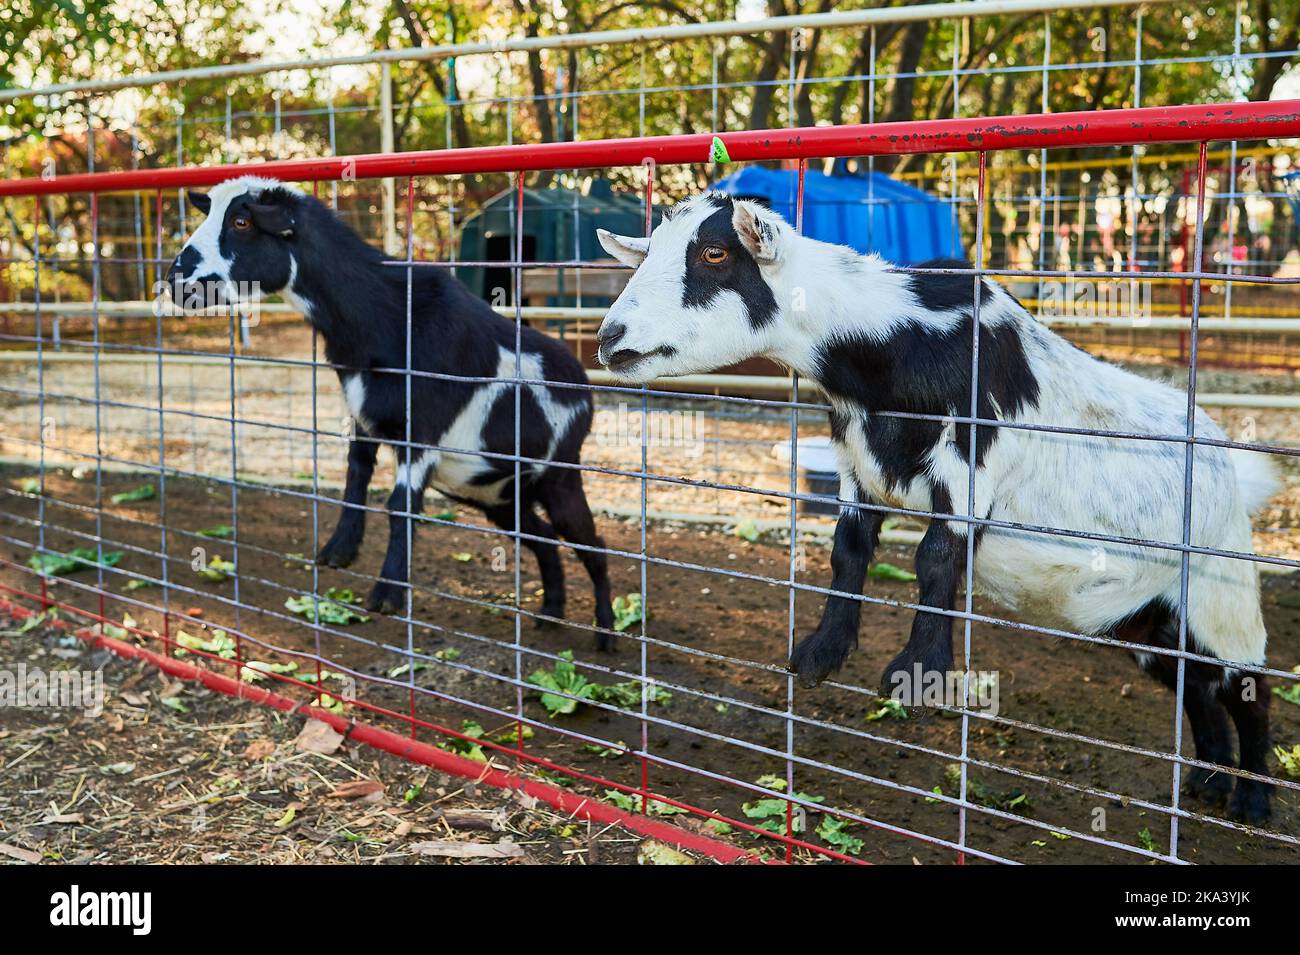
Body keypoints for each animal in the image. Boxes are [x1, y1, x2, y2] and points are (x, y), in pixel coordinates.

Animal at [165, 176, 616, 647]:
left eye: (241, 221)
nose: (176, 280)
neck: (385, 320)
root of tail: (583, 387)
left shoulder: (421, 432)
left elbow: (400, 506)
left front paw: (387, 594)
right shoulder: (363, 416)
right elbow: (355, 475)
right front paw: (338, 552)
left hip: (560, 475)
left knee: (593, 543)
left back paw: (606, 634)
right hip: (499, 494)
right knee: (543, 539)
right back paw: (551, 613)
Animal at [594, 192, 1277, 822]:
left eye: (714, 254)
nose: (608, 338)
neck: (893, 344)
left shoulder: (971, 461)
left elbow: (935, 557)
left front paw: (916, 674)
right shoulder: (858, 466)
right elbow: (848, 552)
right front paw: (821, 653)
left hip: (1222, 585)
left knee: (1246, 685)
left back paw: (1253, 799)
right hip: (1146, 617)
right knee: (1195, 686)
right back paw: (1208, 781)